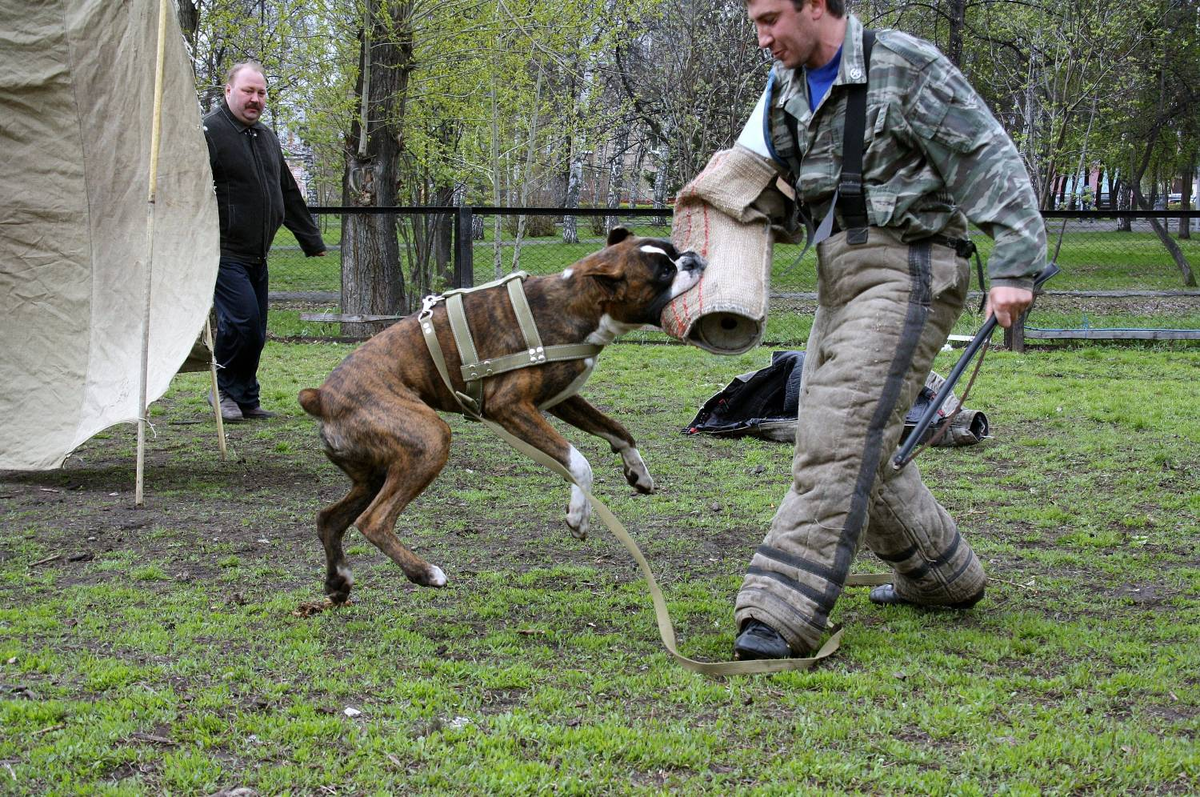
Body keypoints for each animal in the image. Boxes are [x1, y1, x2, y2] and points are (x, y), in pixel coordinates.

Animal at [297, 226, 700, 600]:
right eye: (664, 272)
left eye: (674, 251)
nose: (693, 258)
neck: (574, 302)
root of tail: (321, 397)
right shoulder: (511, 406)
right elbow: (578, 461)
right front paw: (578, 515)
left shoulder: (563, 399)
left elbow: (618, 431)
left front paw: (638, 472)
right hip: (428, 440)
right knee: (373, 521)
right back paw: (425, 573)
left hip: (373, 473)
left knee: (329, 519)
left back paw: (338, 581)